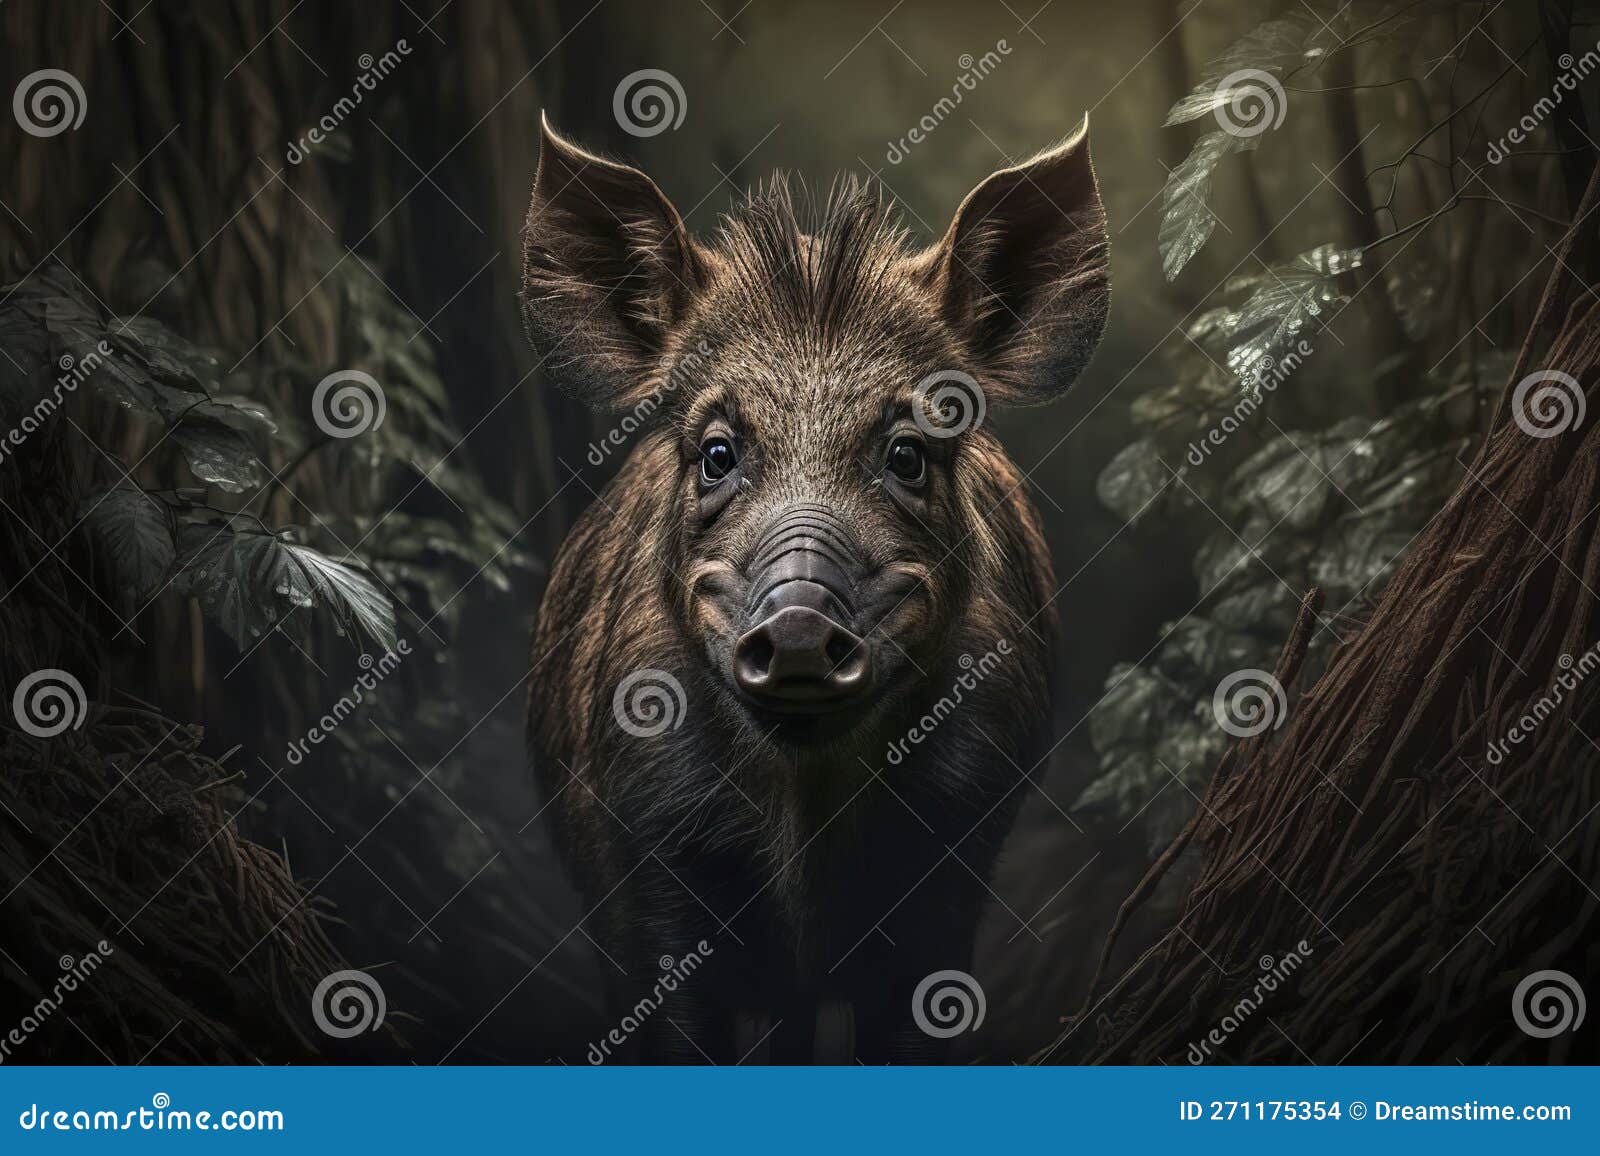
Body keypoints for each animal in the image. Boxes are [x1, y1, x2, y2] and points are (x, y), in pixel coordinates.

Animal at [522, 112, 1108, 1062]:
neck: (807, 810)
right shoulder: (647, 853)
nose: (797, 630)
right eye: (716, 452)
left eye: (908, 452)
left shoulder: (964, 841)